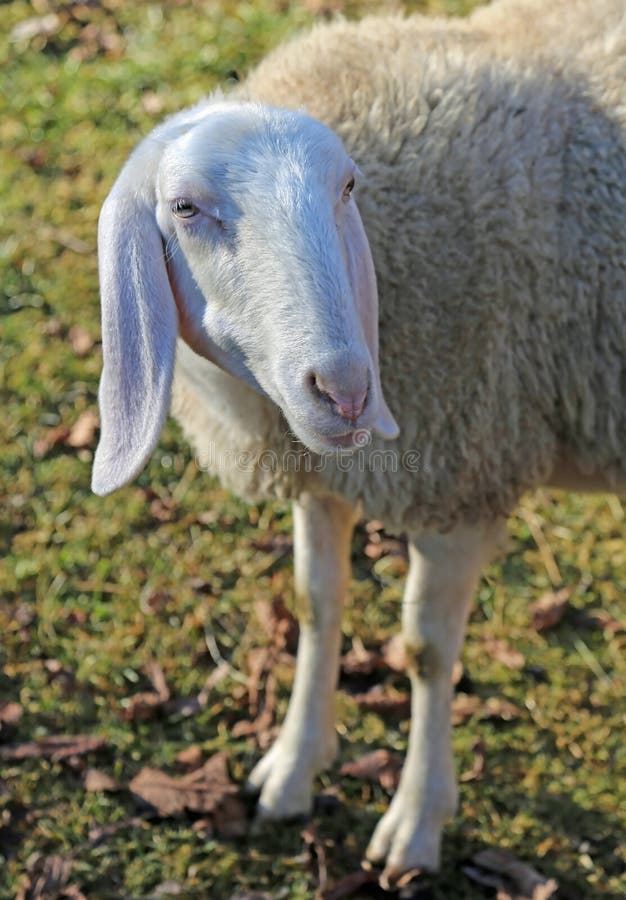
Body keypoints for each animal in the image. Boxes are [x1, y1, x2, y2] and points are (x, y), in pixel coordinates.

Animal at [92, 0, 626, 883]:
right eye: (186, 208)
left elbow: (426, 652)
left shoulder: (461, 471)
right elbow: (317, 604)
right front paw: (292, 768)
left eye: (346, 188)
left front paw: (416, 818)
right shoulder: (327, 476)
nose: (346, 388)